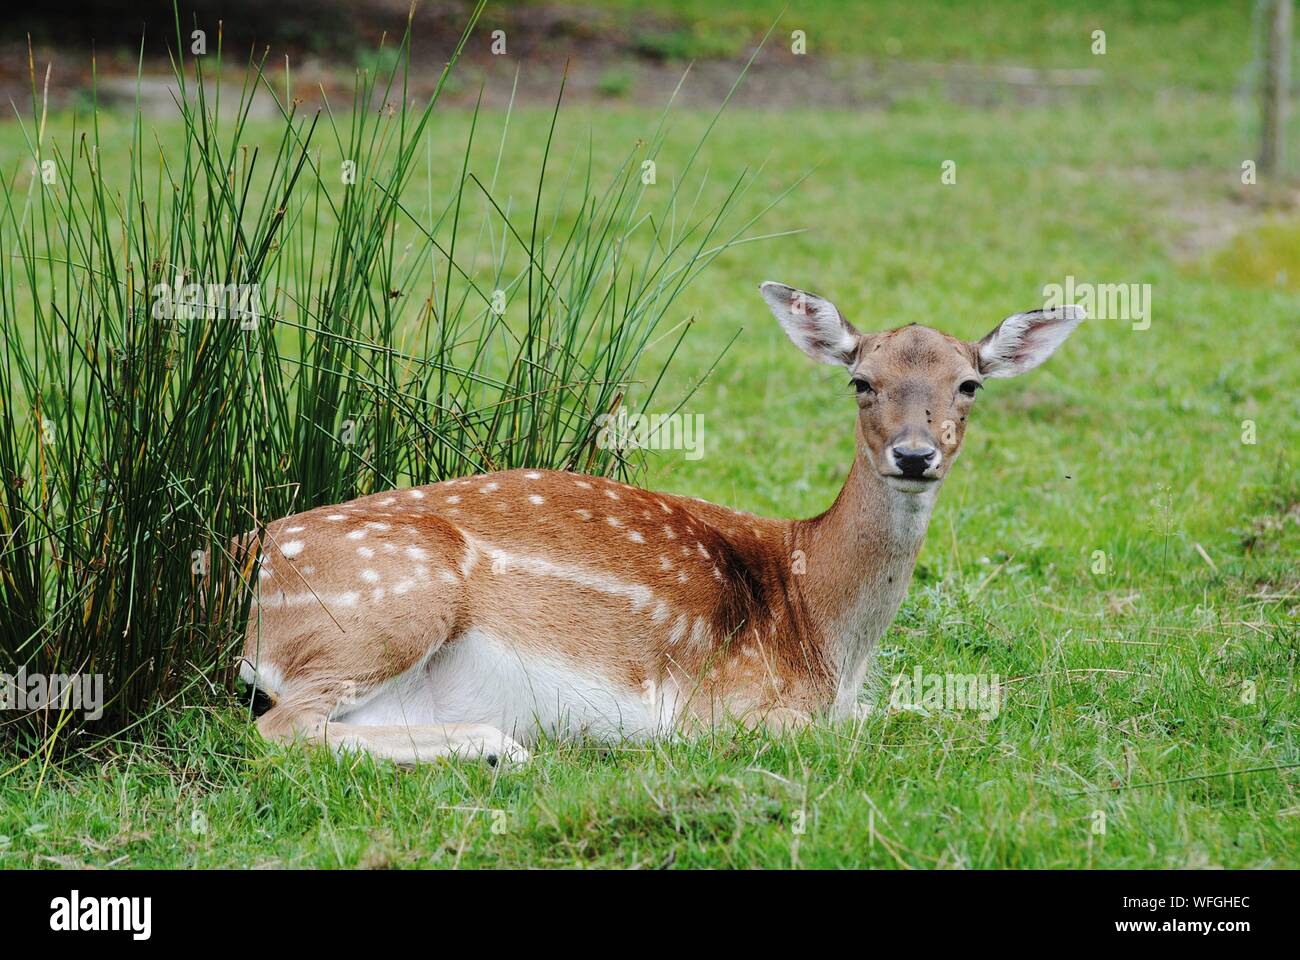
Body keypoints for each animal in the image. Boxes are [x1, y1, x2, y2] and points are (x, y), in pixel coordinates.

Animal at [237, 282, 1084, 765]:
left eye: (969, 384)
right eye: (860, 381)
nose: (913, 455)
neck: (825, 632)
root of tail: (234, 558)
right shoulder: (725, 707)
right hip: (389, 603)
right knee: (279, 730)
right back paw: (503, 746)